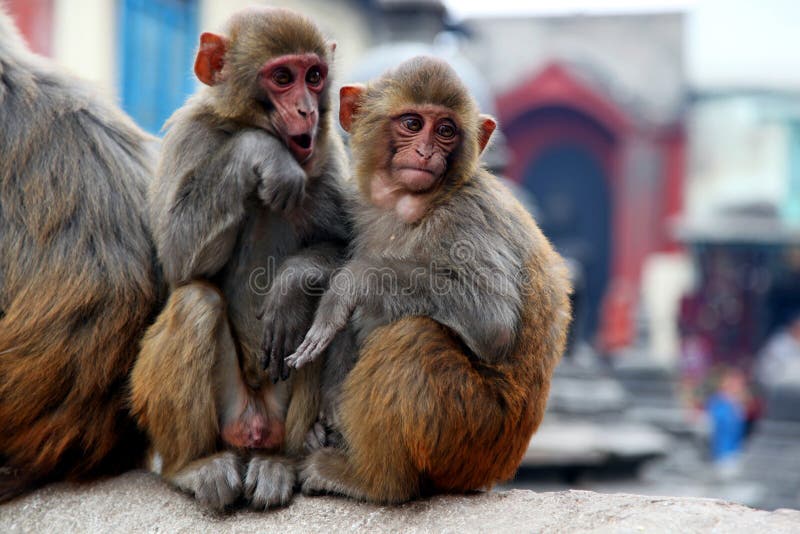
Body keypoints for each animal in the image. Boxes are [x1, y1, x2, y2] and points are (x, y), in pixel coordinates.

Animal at [129, 7, 350, 511]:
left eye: (314, 76)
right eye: (283, 78)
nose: (307, 110)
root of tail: (253, 425)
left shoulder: (329, 153)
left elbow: (352, 251)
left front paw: (291, 284)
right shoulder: (191, 138)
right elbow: (177, 260)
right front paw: (261, 152)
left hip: (279, 413)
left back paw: (279, 463)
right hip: (215, 414)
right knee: (197, 302)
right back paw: (193, 466)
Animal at [283, 56, 572, 504]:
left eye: (446, 130)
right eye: (412, 123)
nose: (425, 151)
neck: (415, 205)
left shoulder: (469, 218)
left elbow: (491, 322)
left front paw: (349, 283)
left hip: (471, 435)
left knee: (412, 338)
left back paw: (372, 481)